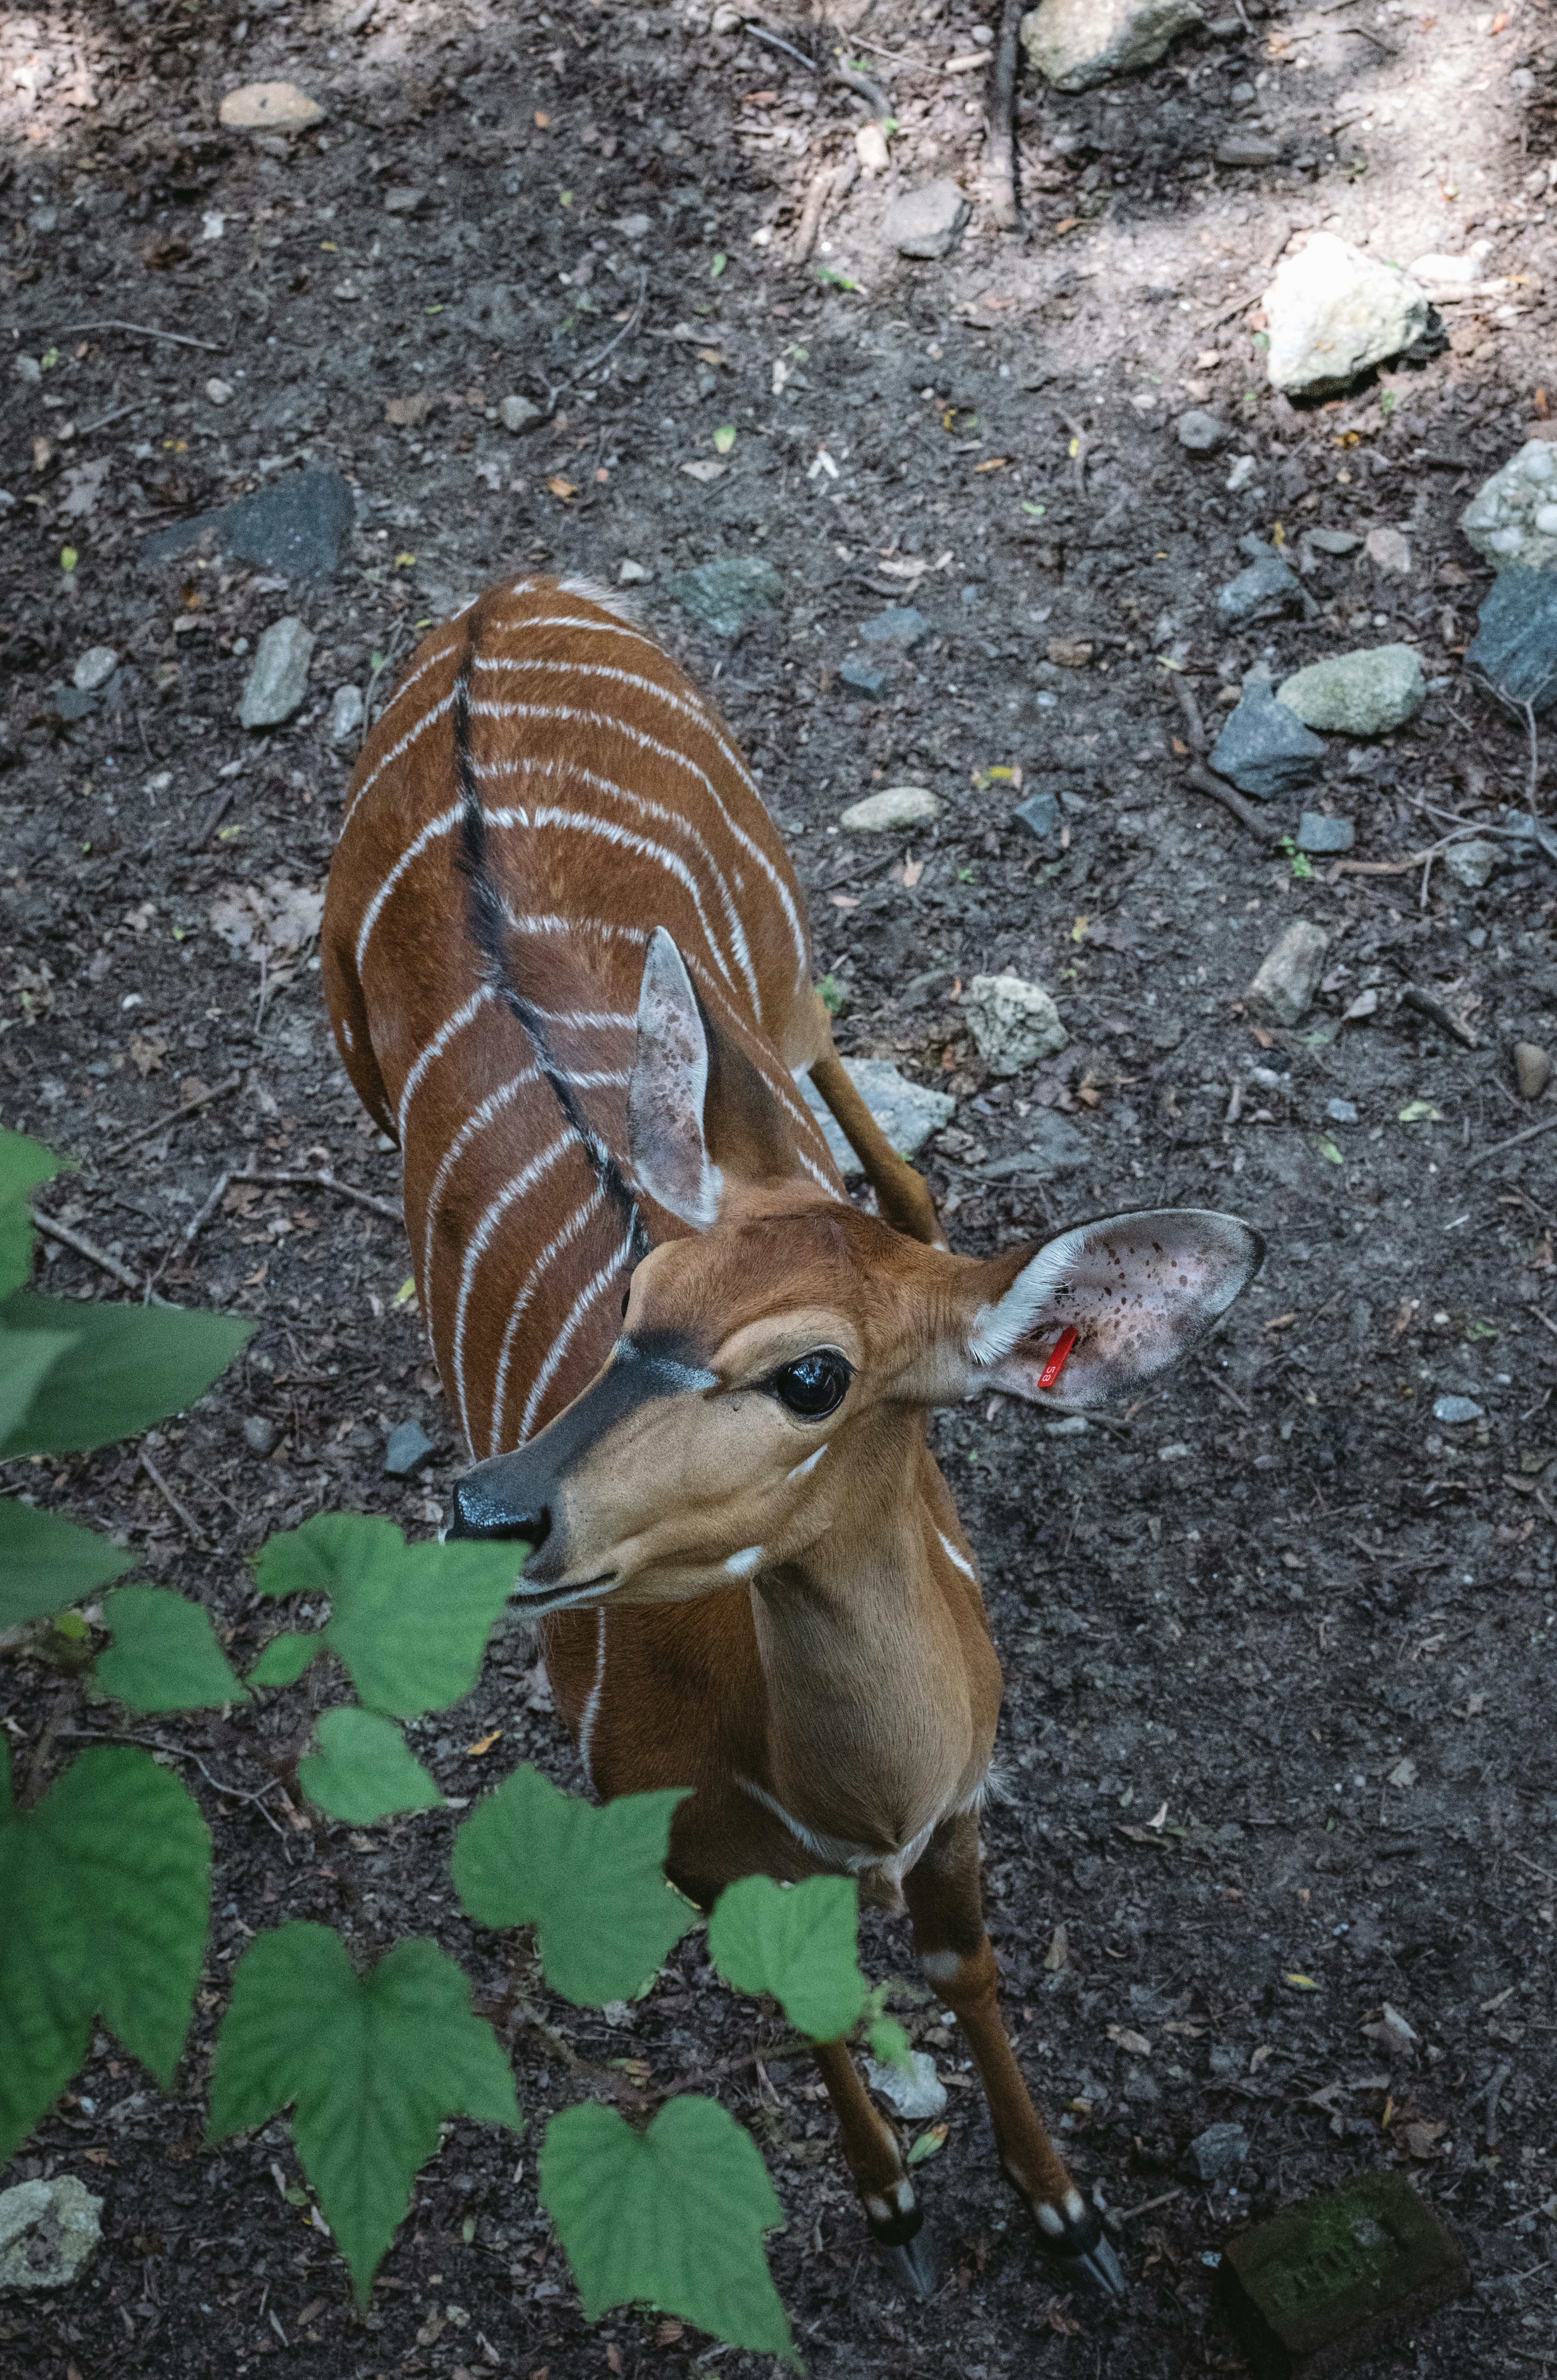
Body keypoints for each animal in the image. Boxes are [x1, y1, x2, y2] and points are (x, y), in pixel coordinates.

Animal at [320, 572, 1263, 2304]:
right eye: (633, 1298)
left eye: (813, 1377)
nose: (497, 1506)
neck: (854, 1809)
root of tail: (504, 596)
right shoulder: (687, 1849)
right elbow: (788, 1995)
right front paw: (888, 2194)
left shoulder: (965, 1802)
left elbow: (961, 1962)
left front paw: (1067, 2211)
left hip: (774, 927)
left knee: (815, 1052)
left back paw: (909, 1201)